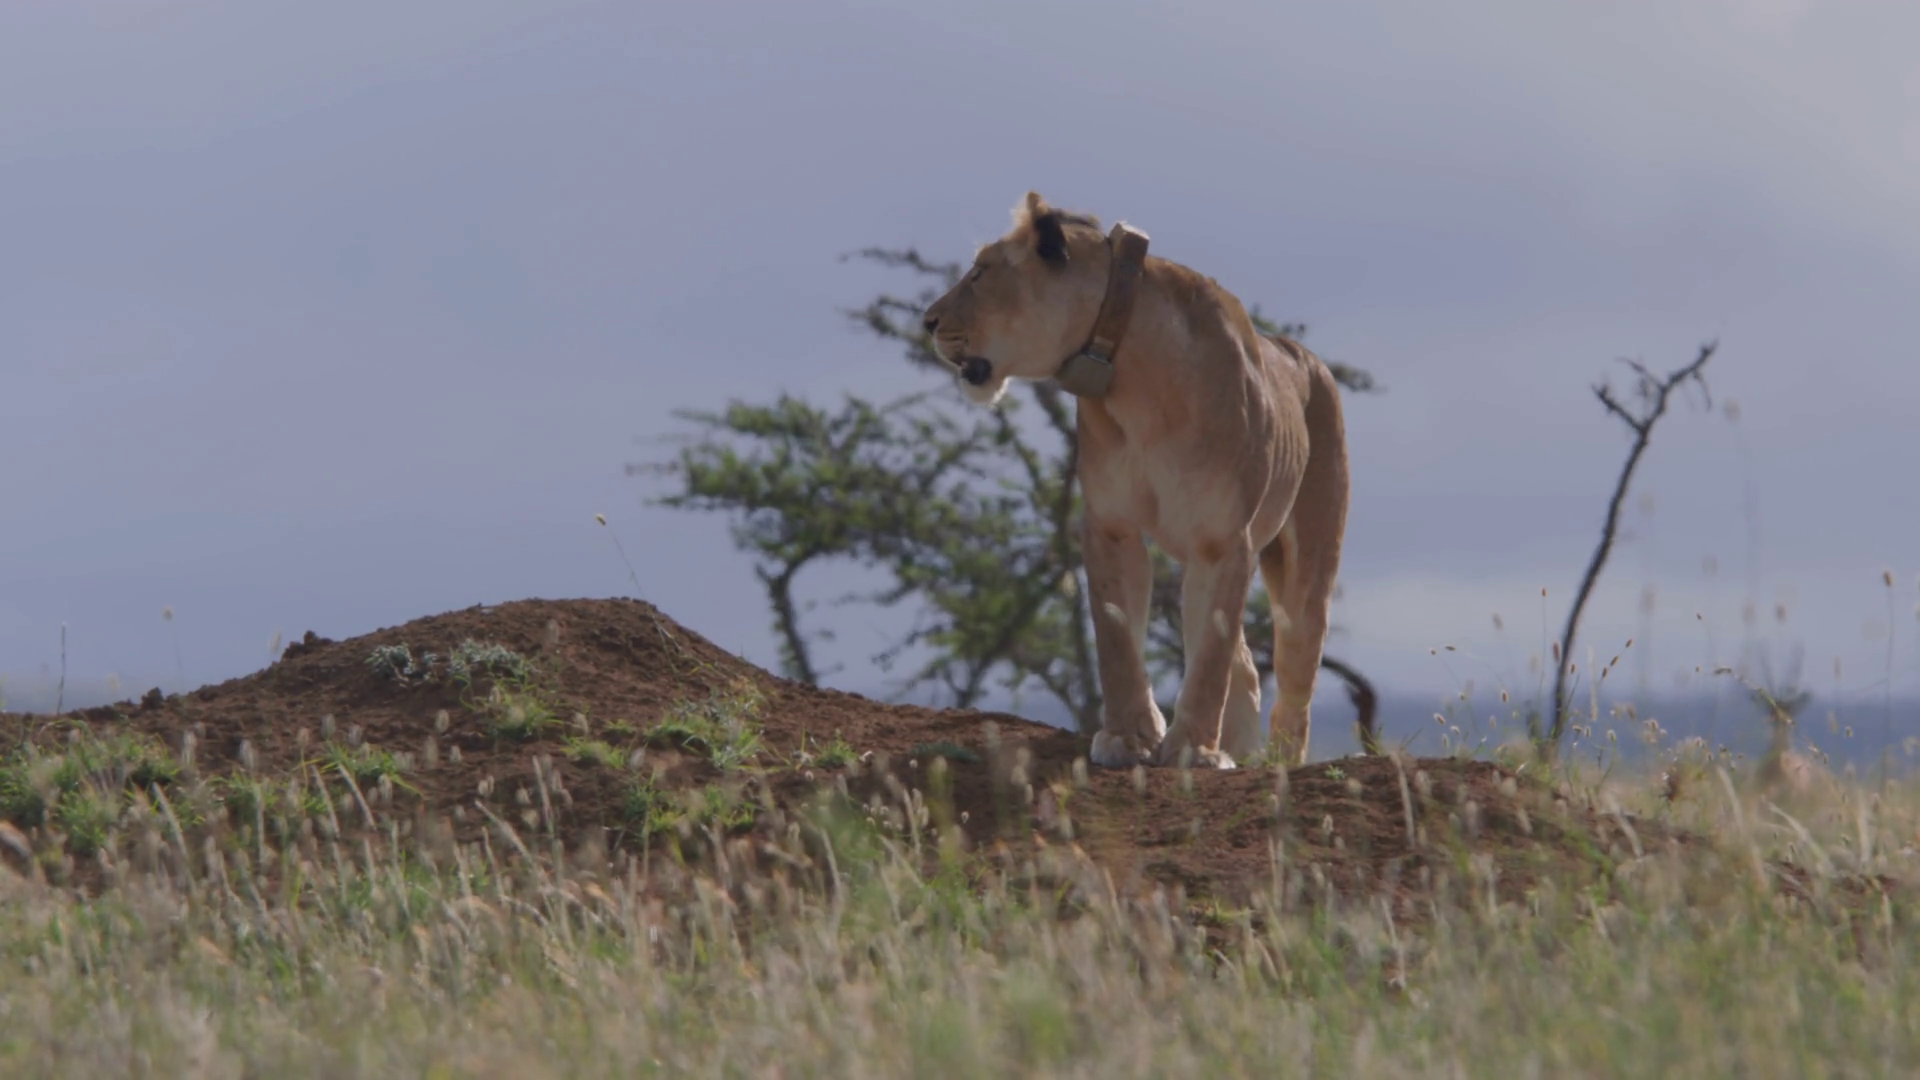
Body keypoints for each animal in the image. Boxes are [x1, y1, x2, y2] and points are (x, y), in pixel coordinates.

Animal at [919, 191, 1351, 769]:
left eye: (981, 272)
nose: (928, 321)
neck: (1137, 383)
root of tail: (1300, 354)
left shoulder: (1221, 539)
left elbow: (1209, 652)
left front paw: (1192, 749)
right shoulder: (1111, 524)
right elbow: (1117, 636)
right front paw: (1130, 737)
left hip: (1309, 557)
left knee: (1296, 658)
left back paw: (1278, 761)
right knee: (1247, 661)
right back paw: (1239, 748)